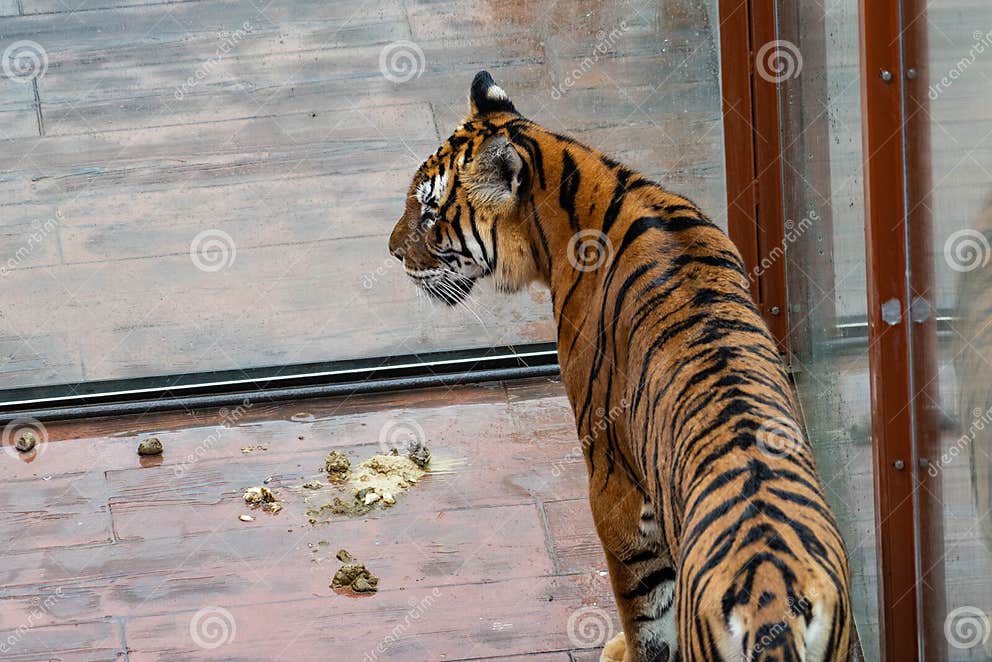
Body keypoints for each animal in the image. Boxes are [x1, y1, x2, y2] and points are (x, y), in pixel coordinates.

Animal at [388, 71, 852, 662]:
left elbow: (644, 615)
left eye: (429, 210)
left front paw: (622, 649)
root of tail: (770, 600)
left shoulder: (611, 477)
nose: (393, 252)